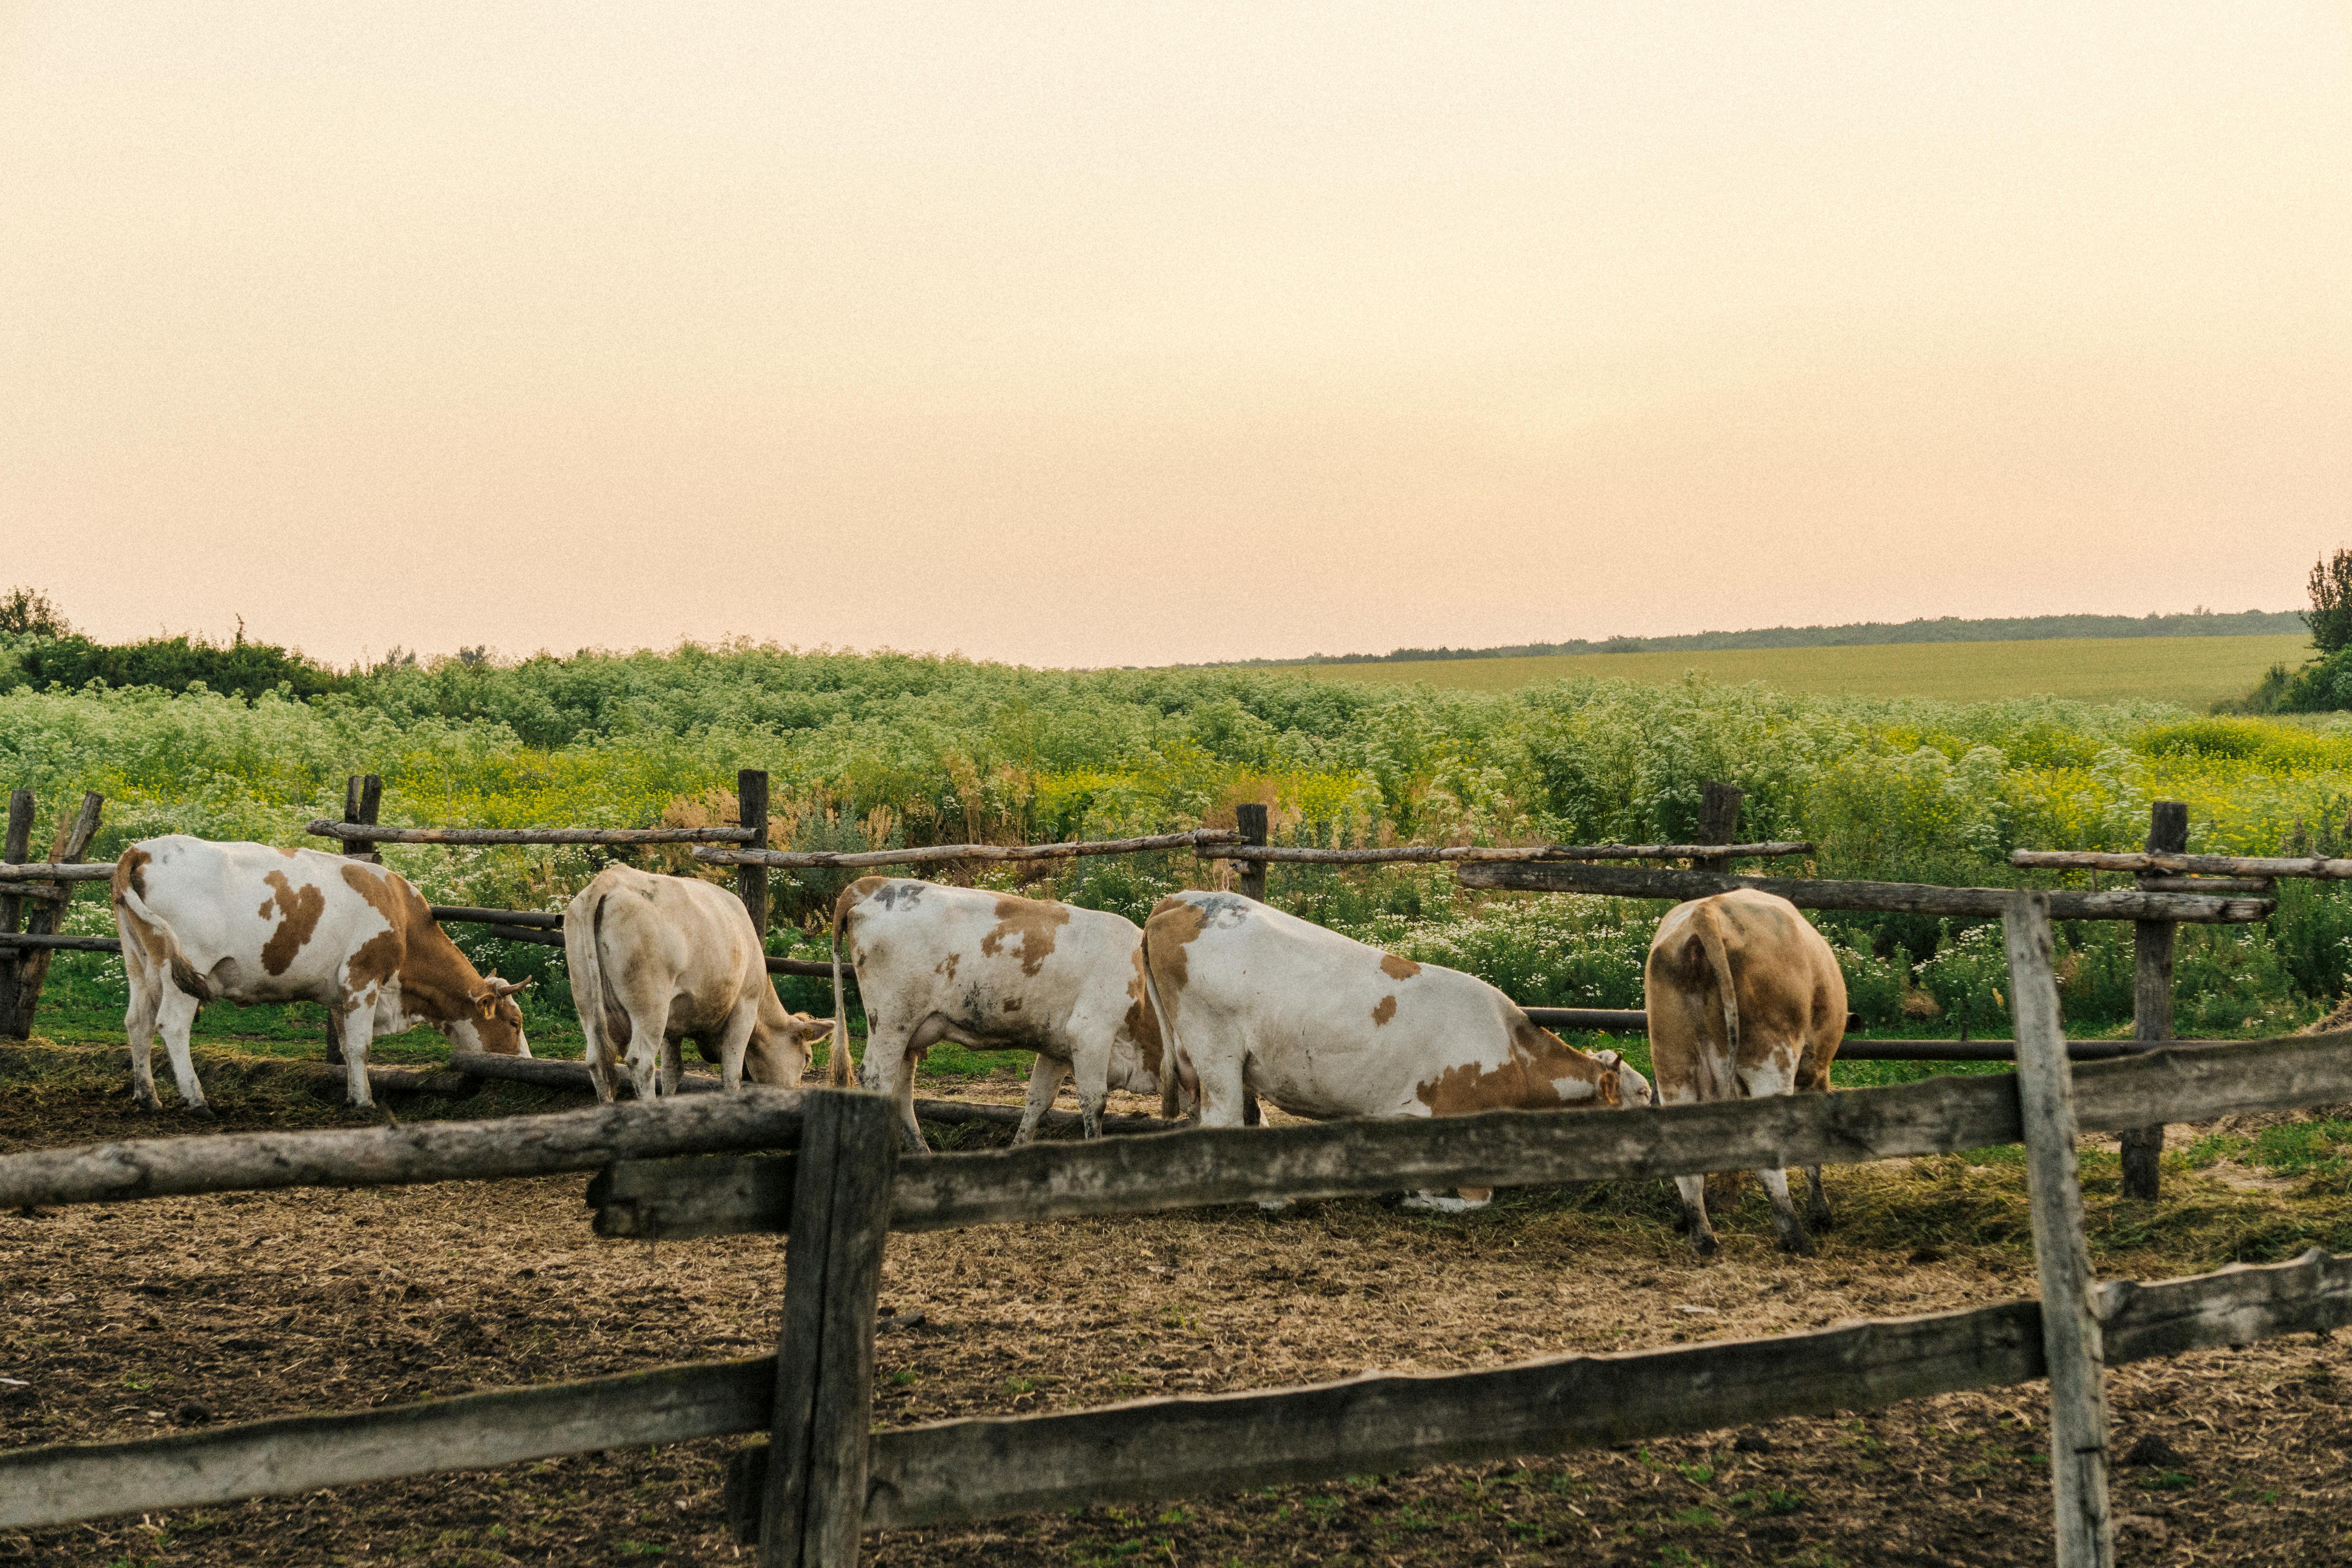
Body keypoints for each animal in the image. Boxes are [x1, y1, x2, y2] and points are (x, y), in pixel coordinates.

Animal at [111, 836, 531, 1114]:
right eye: (514, 1023)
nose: (526, 1062)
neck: (401, 916)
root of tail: (144, 849)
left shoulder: (340, 996)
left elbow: (346, 1048)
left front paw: (352, 1095)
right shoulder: (363, 979)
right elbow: (362, 1046)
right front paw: (366, 1102)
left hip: (139, 966)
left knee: (138, 1023)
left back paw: (148, 1097)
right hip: (185, 970)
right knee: (172, 1026)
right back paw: (197, 1100)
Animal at [564, 865, 833, 1101]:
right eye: (807, 1058)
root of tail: (609, 879)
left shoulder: (673, 1023)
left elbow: (673, 1071)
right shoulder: (745, 1006)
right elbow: (732, 1073)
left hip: (586, 1000)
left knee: (596, 1061)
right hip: (650, 1005)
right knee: (641, 1062)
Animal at [827, 877, 1163, 1153]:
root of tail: (877, 883)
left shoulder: (1057, 1048)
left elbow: (1038, 1101)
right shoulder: (1091, 1035)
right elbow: (1095, 1103)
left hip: (909, 1035)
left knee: (902, 1092)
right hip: (891, 1020)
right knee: (877, 1079)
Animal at [1139, 891, 1650, 1210]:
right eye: (1645, 1094)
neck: (1512, 1052)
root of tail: (1182, 899)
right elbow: (1478, 1201)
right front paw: (1415, 1198)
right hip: (1216, 1051)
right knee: (1221, 1122)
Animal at [1644, 888, 1847, 1256]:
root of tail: (1706, 912)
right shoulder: (1815, 1072)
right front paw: (1821, 1214)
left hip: (1673, 1064)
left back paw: (1703, 1237)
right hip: (1770, 1059)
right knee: (1769, 1155)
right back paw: (1795, 1236)